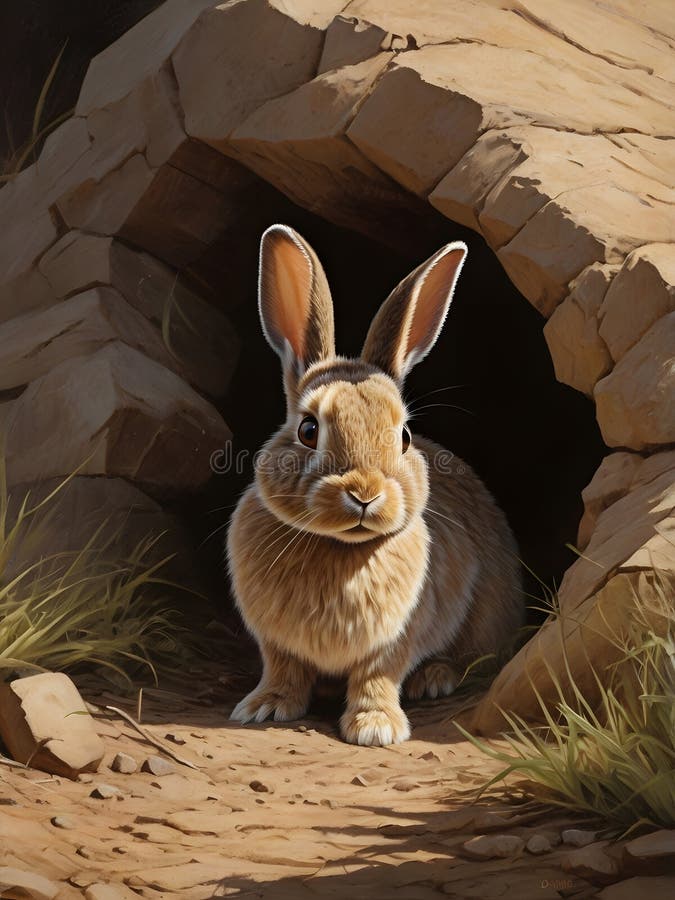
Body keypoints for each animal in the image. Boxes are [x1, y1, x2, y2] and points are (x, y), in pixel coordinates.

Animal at [227, 224, 523, 746]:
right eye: (308, 429)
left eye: (403, 436)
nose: (365, 494)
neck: (341, 549)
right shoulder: (276, 643)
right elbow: (283, 669)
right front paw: (264, 707)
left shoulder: (396, 639)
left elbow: (378, 676)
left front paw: (375, 727)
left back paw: (435, 677)